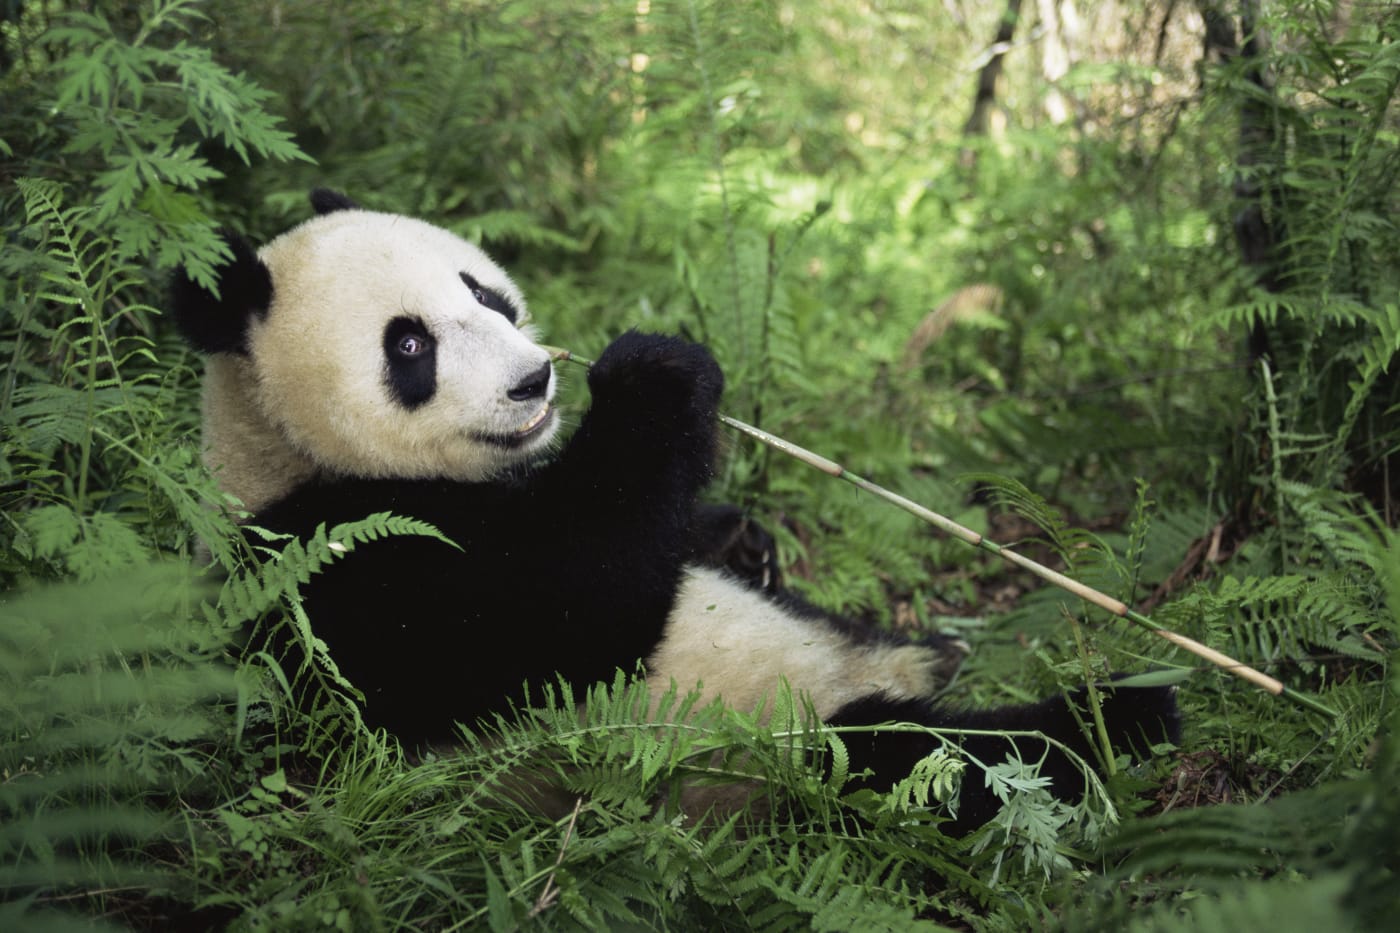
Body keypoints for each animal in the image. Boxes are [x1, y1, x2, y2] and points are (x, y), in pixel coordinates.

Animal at [172, 190, 1179, 833]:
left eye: (484, 292)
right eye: (409, 345)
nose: (534, 380)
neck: (281, 452)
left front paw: (741, 535)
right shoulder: (333, 569)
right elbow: (565, 615)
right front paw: (655, 376)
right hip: (768, 751)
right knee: (931, 760)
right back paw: (1119, 719)